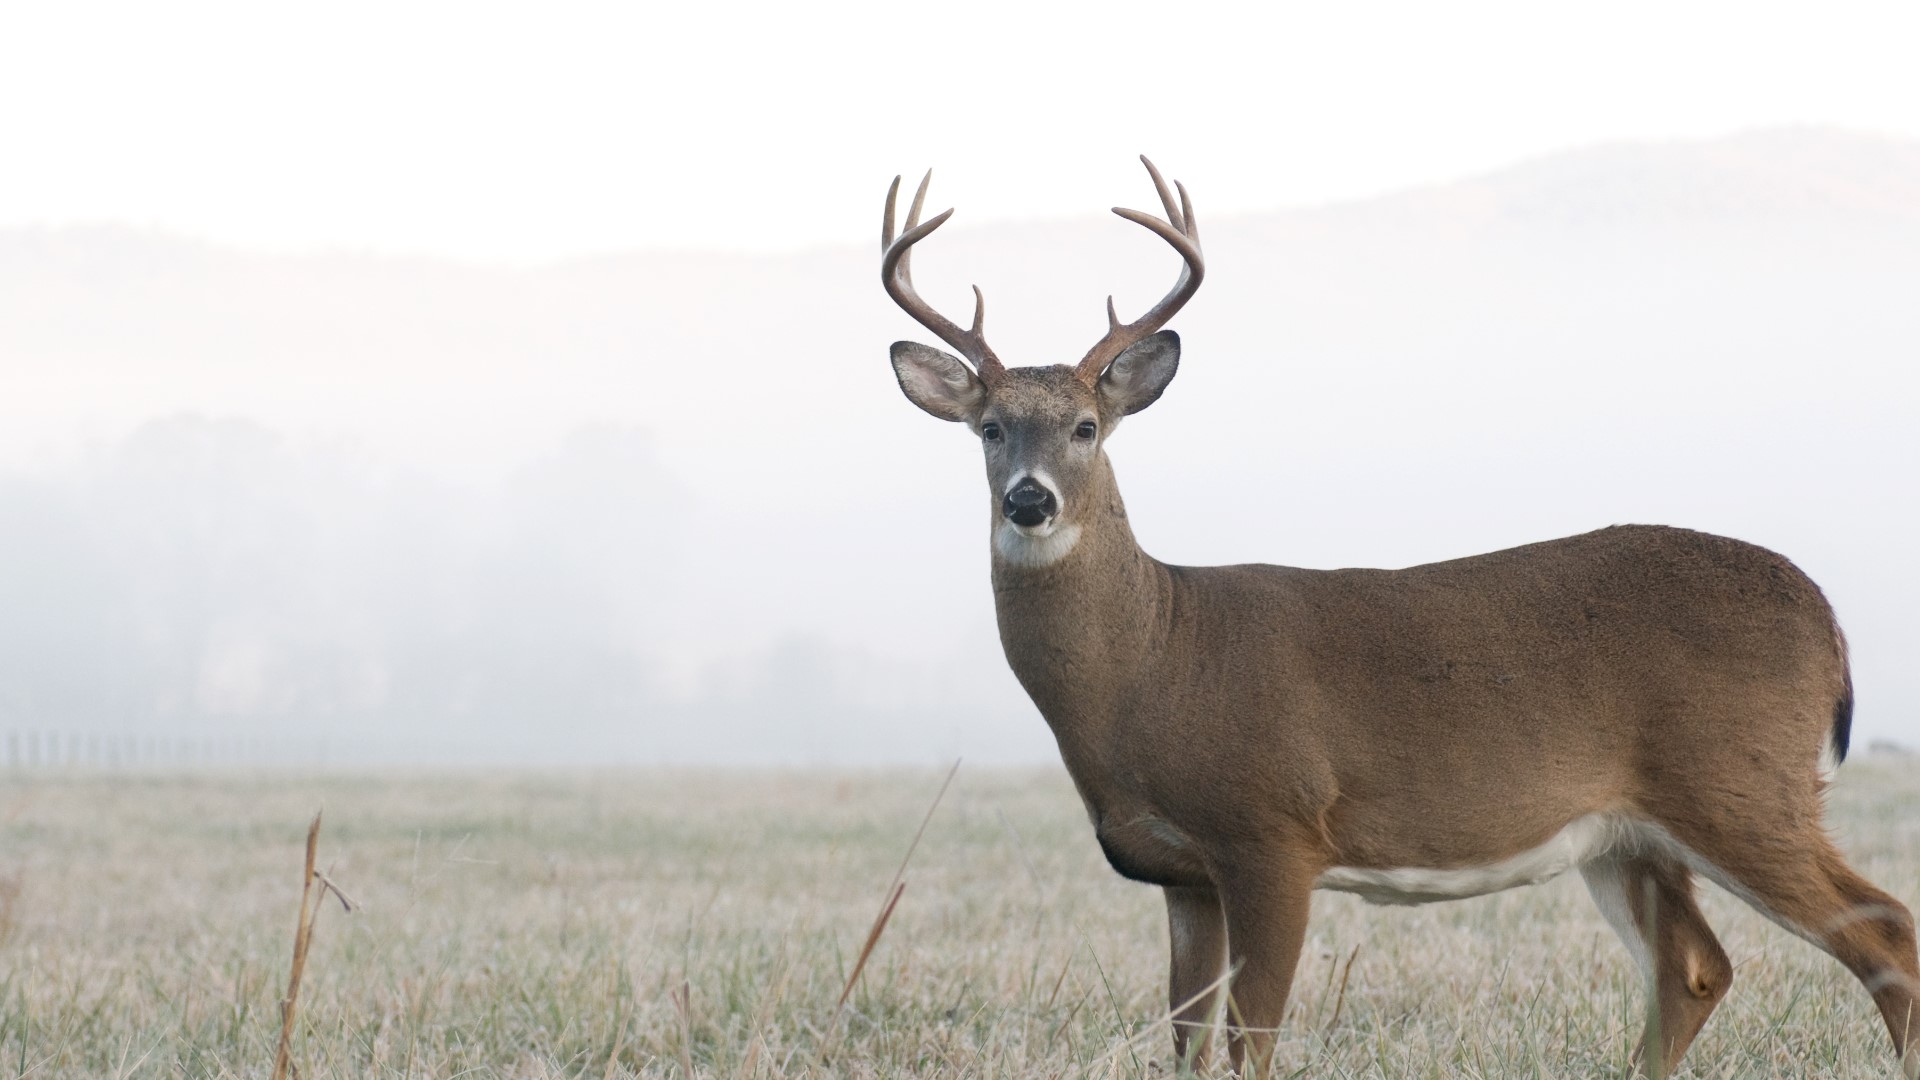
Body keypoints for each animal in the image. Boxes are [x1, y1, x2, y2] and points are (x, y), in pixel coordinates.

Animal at [878, 157, 1920, 1077]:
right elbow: (1185, 1040)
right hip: (1633, 833)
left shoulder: (1272, 830)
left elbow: (1252, 1039)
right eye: (989, 429)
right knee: (1698, 967)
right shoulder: (1182, 873)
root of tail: (1826, 618)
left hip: (1741, 783)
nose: (1029, 500)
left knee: (1886, 932)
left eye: (1087, 428)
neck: (1155, 660)